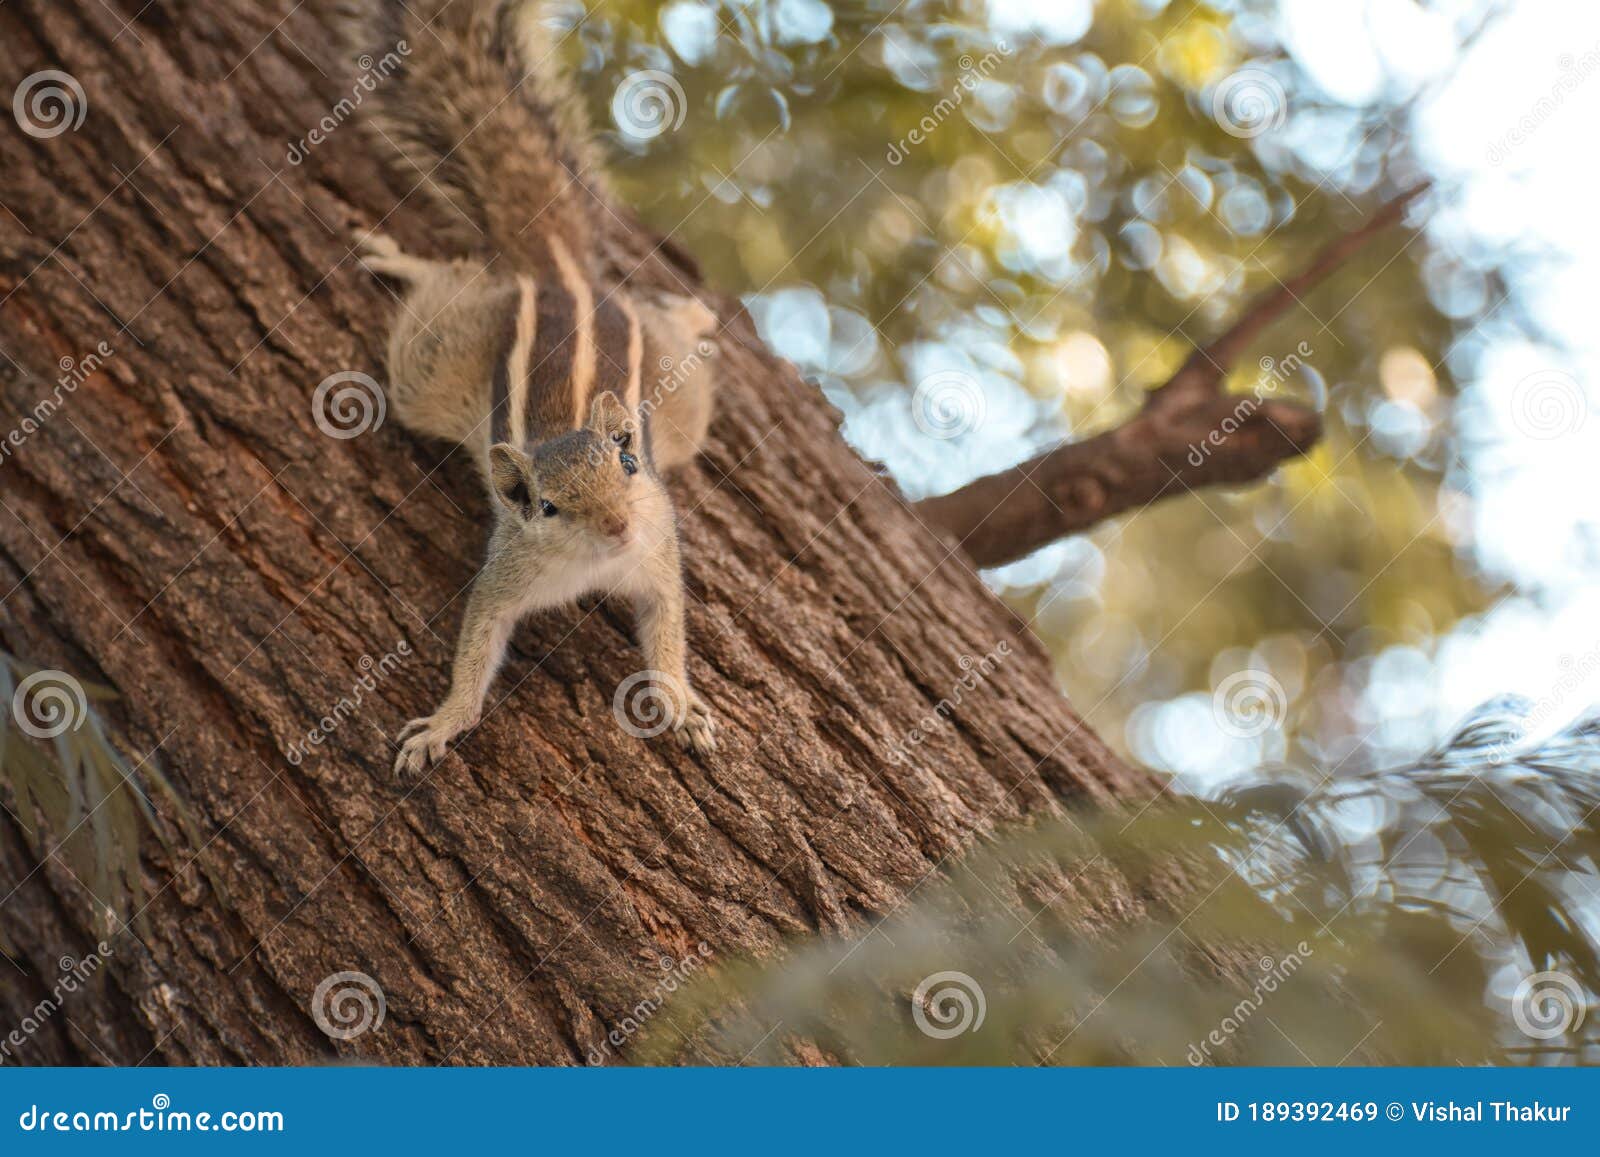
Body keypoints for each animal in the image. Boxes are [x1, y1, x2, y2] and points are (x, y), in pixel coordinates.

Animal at [351, 0, 720, 776]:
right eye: (547, 506)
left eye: (629, 461)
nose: (617, 527)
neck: (591, 565)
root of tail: (562, 277)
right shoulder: (507, 575)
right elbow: (476, 647)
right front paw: (443, 724)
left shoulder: (657, 548)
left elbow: (668, 626)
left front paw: (679, 700)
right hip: (430, 375)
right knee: (446, 296)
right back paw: (404, 261)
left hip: (679, 399)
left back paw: (695, 311)